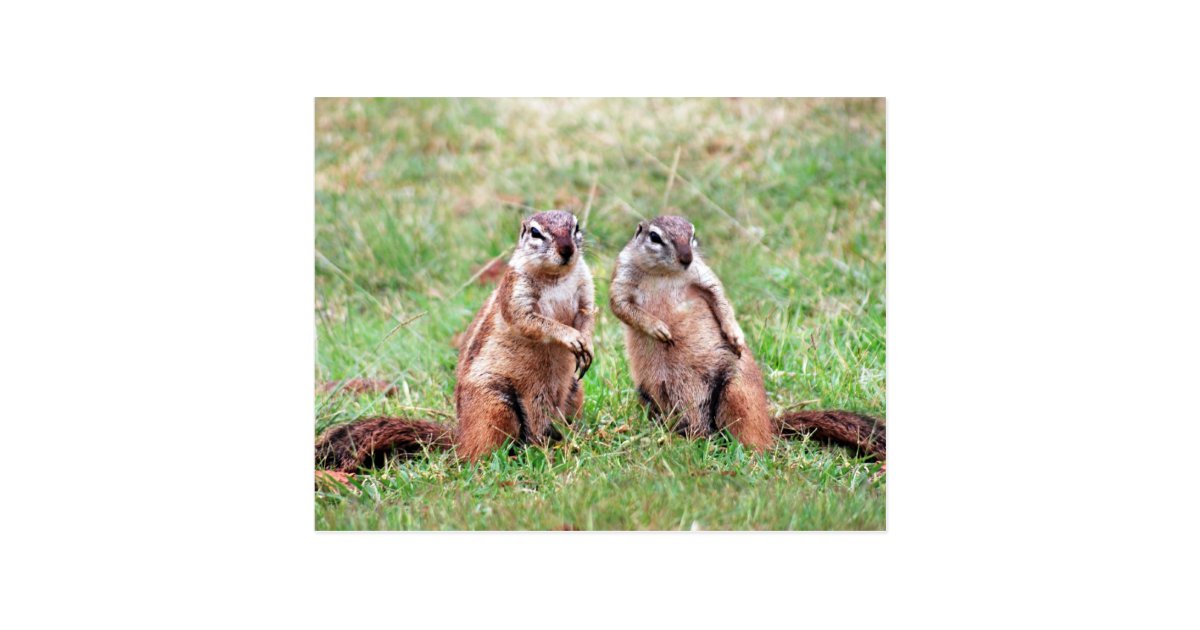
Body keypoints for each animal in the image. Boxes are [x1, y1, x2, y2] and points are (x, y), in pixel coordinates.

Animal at [316, 210, 596, 471]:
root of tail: (460, 437)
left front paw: (586, 342)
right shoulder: (516, 293)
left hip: (574, 390)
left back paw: (571, 437)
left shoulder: (585, 287)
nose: (567, 249)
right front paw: (570, 337)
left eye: (576, 227)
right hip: (497, 405)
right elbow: (531, 321)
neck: (556, 277)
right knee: (485, 448)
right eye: (536, 233)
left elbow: (588, 313)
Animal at [608, 215, 885, 459]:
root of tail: (769, 424)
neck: (664, 275)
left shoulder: (702, 273)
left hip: (737, 391)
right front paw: (659, 329)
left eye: (692, 234)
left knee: (750, 436)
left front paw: (735, 336)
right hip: (649, 395)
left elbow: (719, 296)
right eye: (655, 237)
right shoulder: (622, 275)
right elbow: (621, 306)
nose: (686, 258)